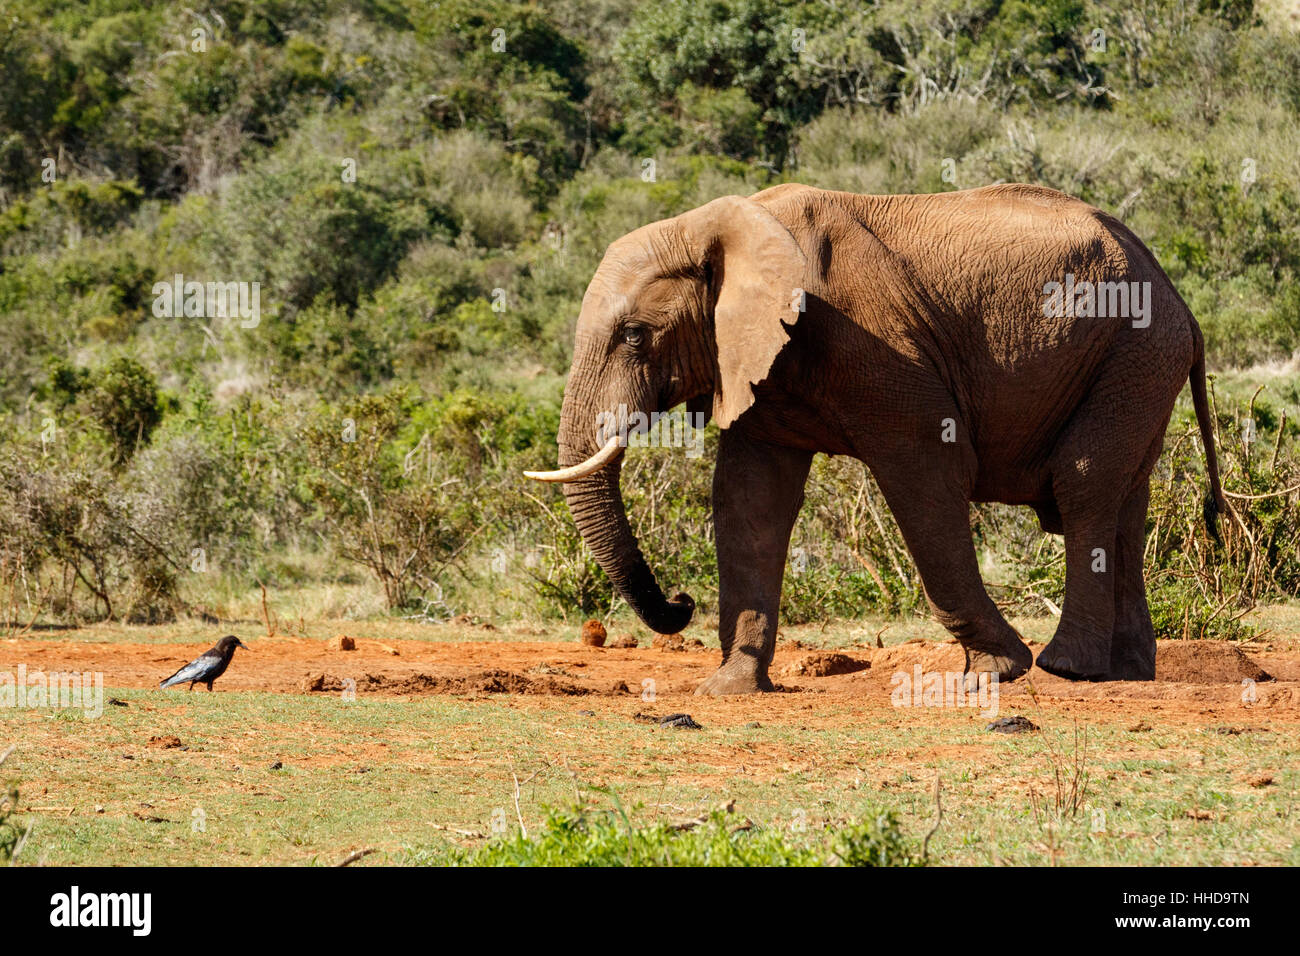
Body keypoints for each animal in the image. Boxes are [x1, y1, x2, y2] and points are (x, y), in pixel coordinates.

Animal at [524, 183, 1223, 695]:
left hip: (1135, 349)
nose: (679, 599)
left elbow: (927, 471)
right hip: (1137, 361)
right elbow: (751, 502)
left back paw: (1068, 669)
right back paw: (1126, 673)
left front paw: (997, 671)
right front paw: (729, 690)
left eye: (634, 335)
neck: (719, 225)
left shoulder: (877, 345)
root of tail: (1180, 300)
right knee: (1126, 498)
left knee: (1083, 484)